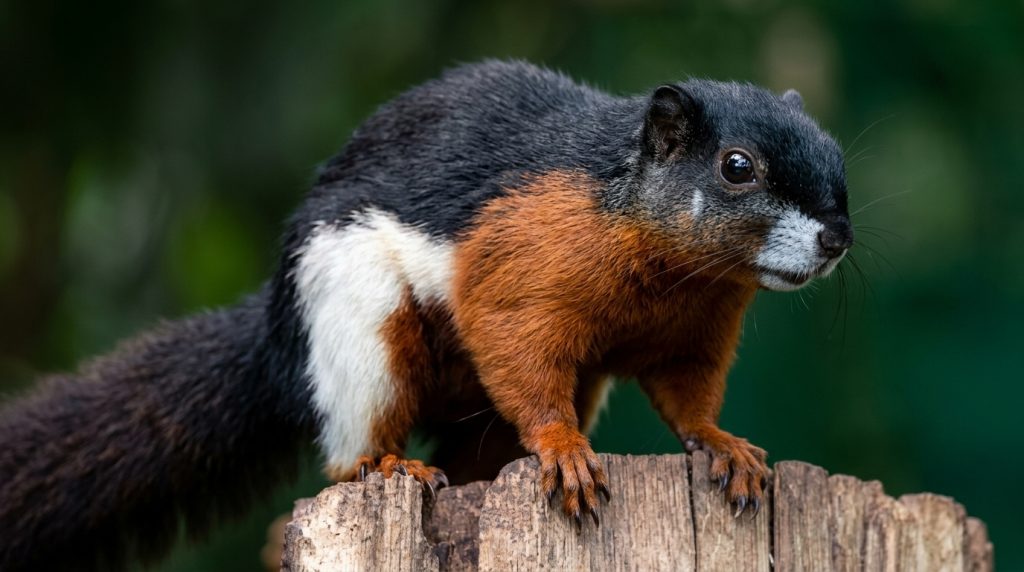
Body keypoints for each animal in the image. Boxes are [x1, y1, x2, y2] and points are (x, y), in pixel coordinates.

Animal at [0, 60, 852, 571]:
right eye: (736, 167)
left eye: (836, 153)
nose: (837, 238)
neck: (675, 269)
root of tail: (274, 334)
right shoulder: (518, 270)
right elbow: (517, 352)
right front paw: (564, 451)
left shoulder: (697, 335)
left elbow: (687, 400)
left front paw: (725, 447)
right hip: (360, 328)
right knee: (352, 449)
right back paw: (389, 466)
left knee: (475, 454)